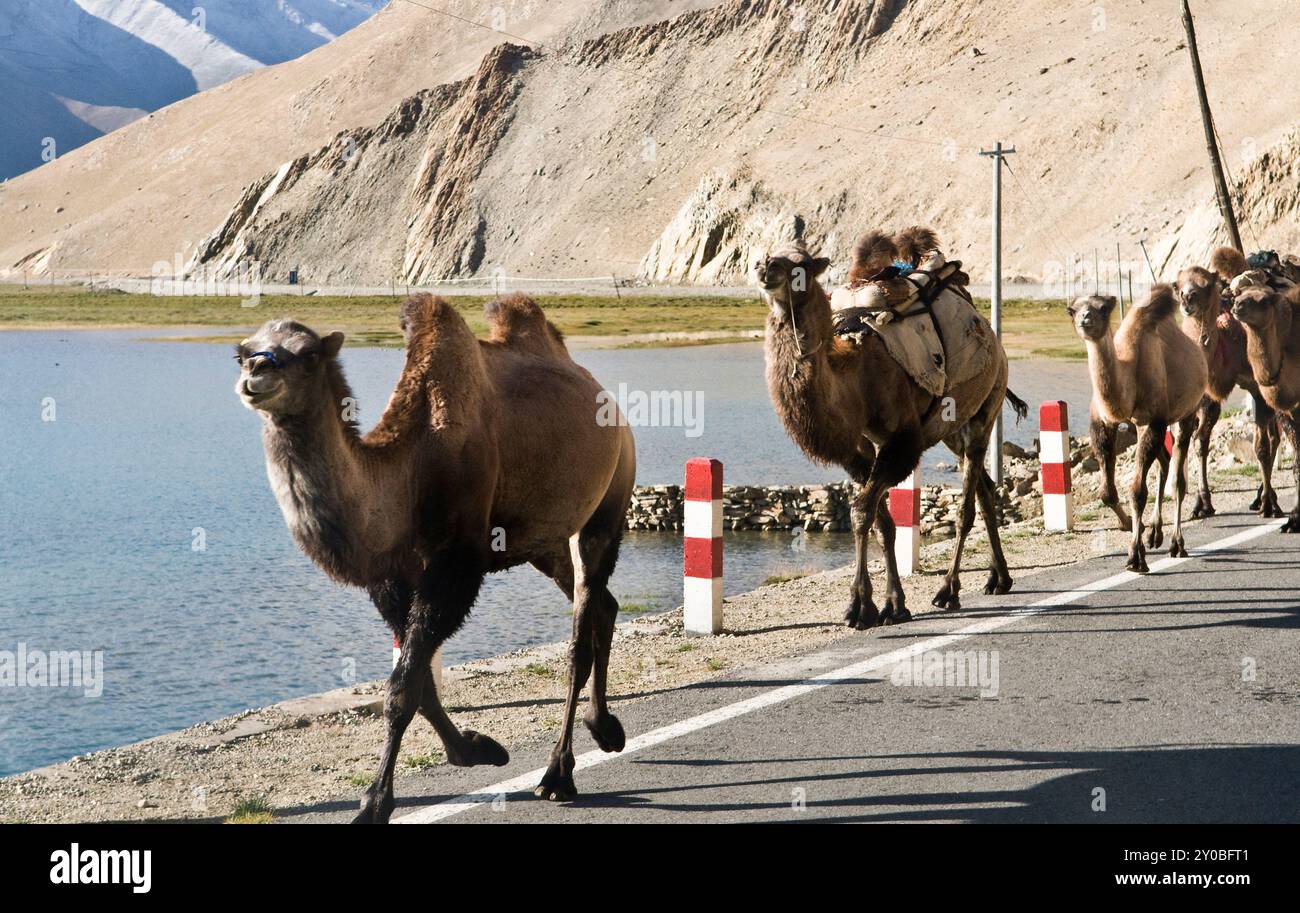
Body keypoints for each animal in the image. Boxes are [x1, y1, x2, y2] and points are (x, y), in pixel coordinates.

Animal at [234, 293, 636, 821]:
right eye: (241, 352)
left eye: (308, 353)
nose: (256, 375)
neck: (409, 470)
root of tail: (608, 401)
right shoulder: (390, 580)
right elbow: (419, 680)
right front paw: (473, 748)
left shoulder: (455, 567)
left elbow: (402, 687)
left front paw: (374, 802)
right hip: (546, 543)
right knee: (604, 606)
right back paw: (604, 728)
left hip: (607, 504)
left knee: (580, 640)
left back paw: (558, 774)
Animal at [757, 228, 1021, 625]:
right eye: (766, 255)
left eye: (800, 264)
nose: (765, 267)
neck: (854, 378)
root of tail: (992, 337)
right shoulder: (860, 450)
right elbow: (883, 524)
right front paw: (893, 605)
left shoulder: (900, 443)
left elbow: (861, 511)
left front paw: (859, 606)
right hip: (951, 430)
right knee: (985, 490)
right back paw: (998, 578)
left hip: (985, 407)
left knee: (967, 507)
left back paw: (949, 590)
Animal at [1068, 286, 1208, 571]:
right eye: (1072, 309)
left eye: (1102, 308)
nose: (1085, 318)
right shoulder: (1104, 424)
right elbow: (1107, 493)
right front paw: (1134, 527)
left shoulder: (1151, 422)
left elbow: (1137, 492)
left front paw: (1135, 556)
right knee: (1164, 463)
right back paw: (1155, 532)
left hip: (1186, 413)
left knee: (1177, 478)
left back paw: (1177, 544)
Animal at [1175, 247, 1283, 519]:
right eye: (1177, 285)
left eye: (1206, 285)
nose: (1187, 299)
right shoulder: (1207, 395)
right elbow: (1200, 442)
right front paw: (1202, 504)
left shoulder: (1258, 386)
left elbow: (1261, 447)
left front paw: (1269, 505)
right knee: (1276, 435)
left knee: (1274, 437)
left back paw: (1265, 497)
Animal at [1230, 283, 1300, 533]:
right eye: (1239, 295)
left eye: (1265, 300)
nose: (1237, 305)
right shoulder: (1288, 413)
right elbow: (1297, 465)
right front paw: (1293, 520)